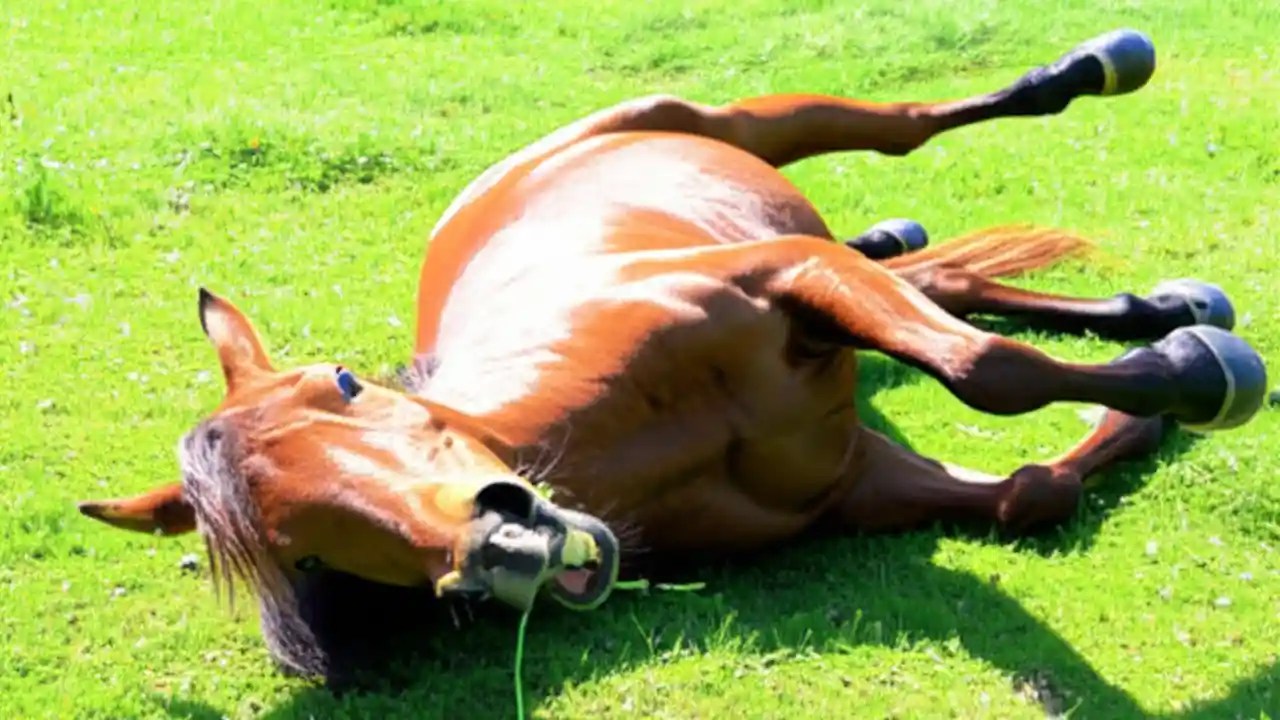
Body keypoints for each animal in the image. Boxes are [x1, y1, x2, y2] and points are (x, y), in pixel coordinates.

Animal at [77, 28, 1268, 681]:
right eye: (296, 550)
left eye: (341, 383)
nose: (506, 544)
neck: (644, 425)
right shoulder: (861, 479)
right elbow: (1031, 489)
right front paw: (1159, 390)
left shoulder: (791, 271)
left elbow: (989, 373)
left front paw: (1203, 378)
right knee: (941, 276)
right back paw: (1165, 299)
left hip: (719, 121)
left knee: (901, 126)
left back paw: (1094, 68)